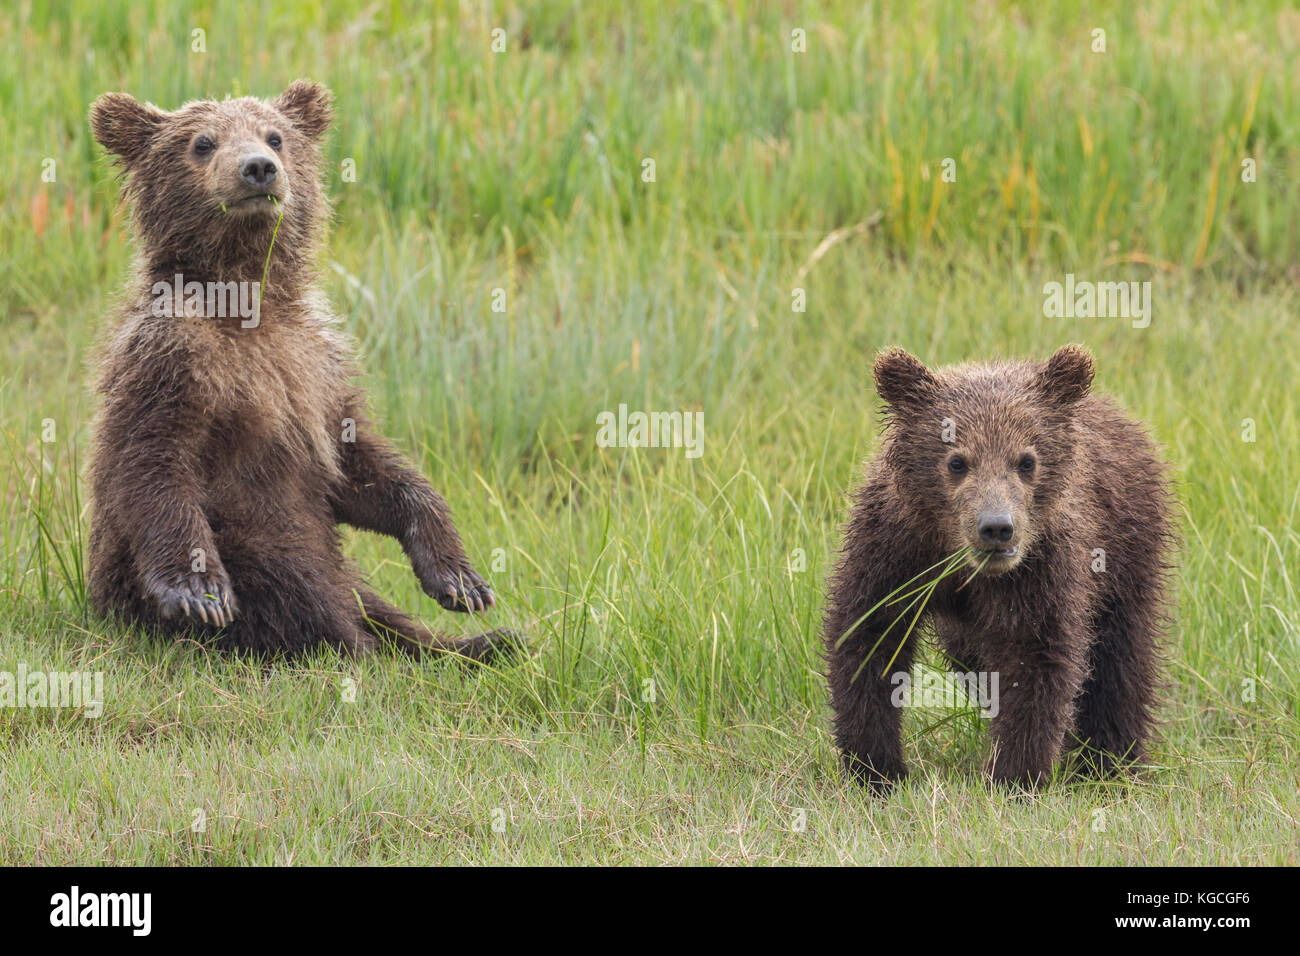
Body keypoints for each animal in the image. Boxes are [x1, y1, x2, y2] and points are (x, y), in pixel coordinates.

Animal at [86, 80, 518, 661]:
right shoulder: (169, 359)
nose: (258, 168)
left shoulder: (317, 366)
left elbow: (361, 465)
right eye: (203, 142)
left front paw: (460, 579)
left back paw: (485, 642)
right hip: (247, 541)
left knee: (377, 608)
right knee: (295, 583)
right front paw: (198, 592)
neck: (246, 300)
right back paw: (369, 651)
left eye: (275, 136)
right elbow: (150, 462)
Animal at [823, 345, 1173, 790]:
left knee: (1121, 659)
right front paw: (877, 769)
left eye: (1026, 461)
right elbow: (868, 637)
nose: (996, 527)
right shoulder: (894, 549)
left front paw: (1015, 775)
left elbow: (1036, 657)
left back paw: (1110, 761)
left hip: (1126, 552)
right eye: (957, 461)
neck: (958, 561)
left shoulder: (1042, 568)